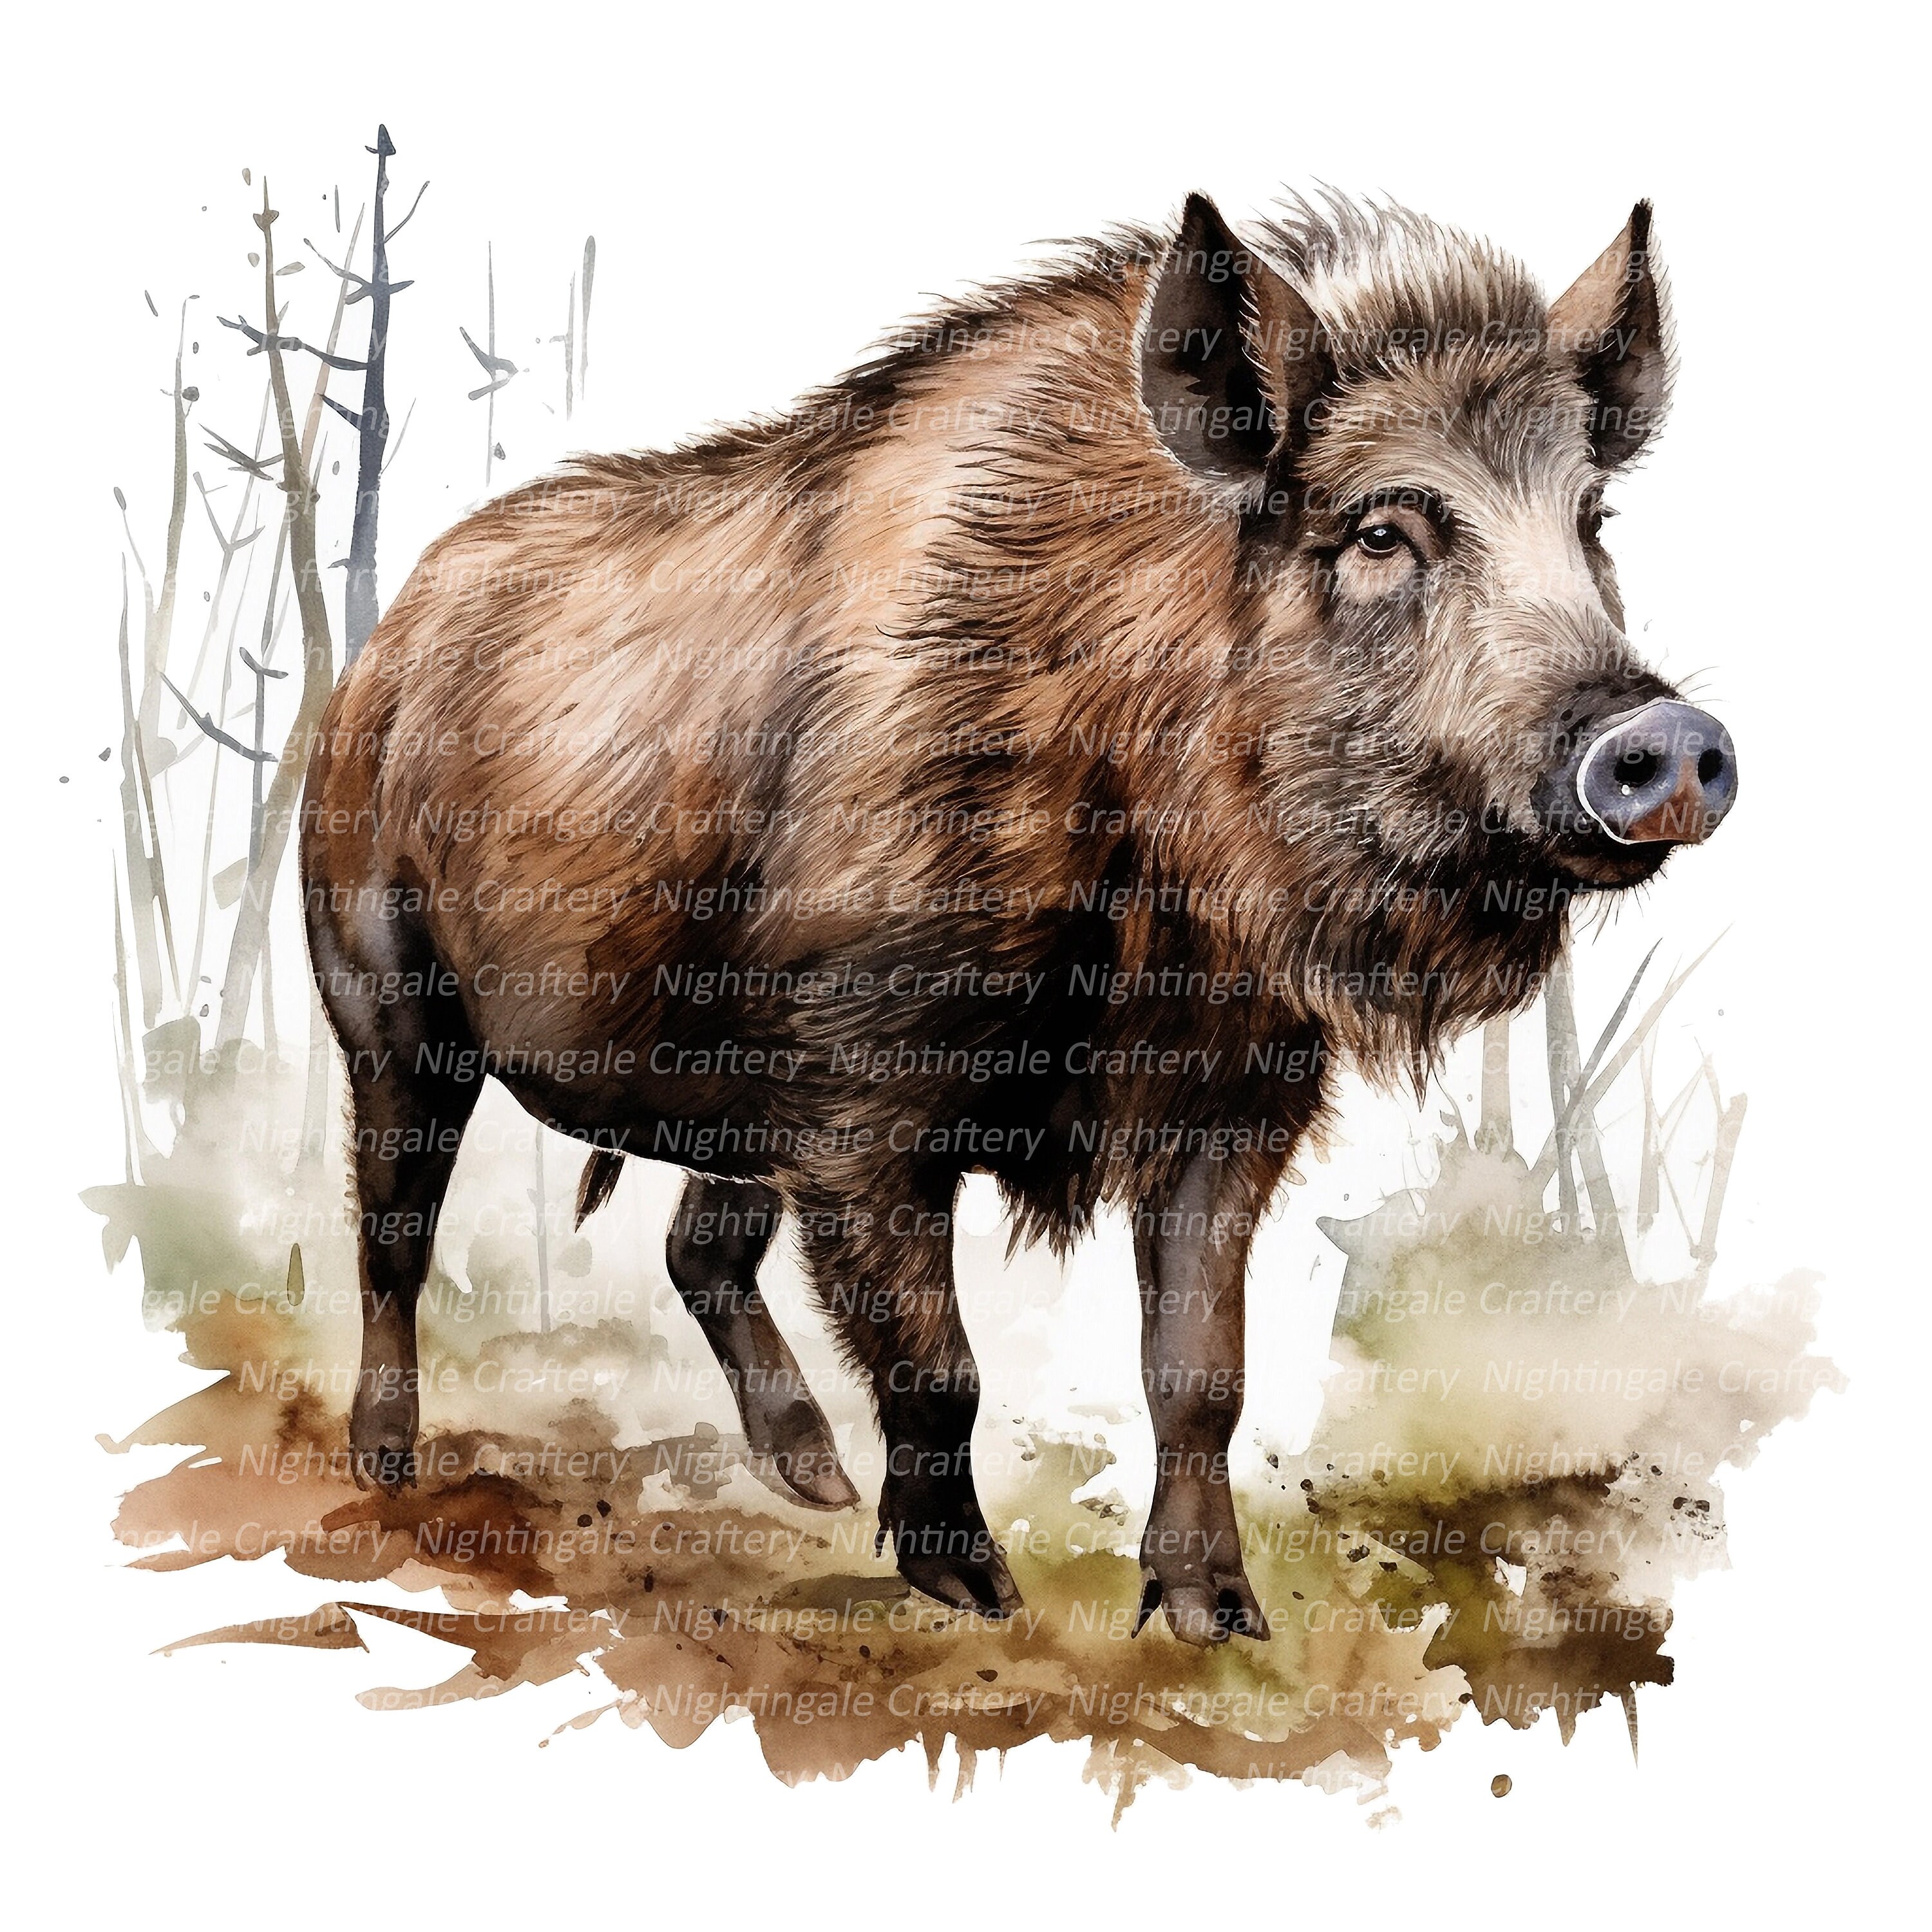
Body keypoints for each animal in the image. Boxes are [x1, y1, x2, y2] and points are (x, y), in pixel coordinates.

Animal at [301, 190, 1736, 1645]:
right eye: (1383, 530)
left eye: (1593, 516)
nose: (1668, 738)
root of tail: (387, 644)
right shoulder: (868, 1096)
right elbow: (941, 1367)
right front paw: (979, 1596)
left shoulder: (1240, 1097)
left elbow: (1199, 1371)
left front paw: (1219, 1618)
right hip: (382, 995)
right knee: (393, 1228)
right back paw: (387, 1466)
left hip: (721, 1090)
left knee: (696, 1244)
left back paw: (811, 1480)